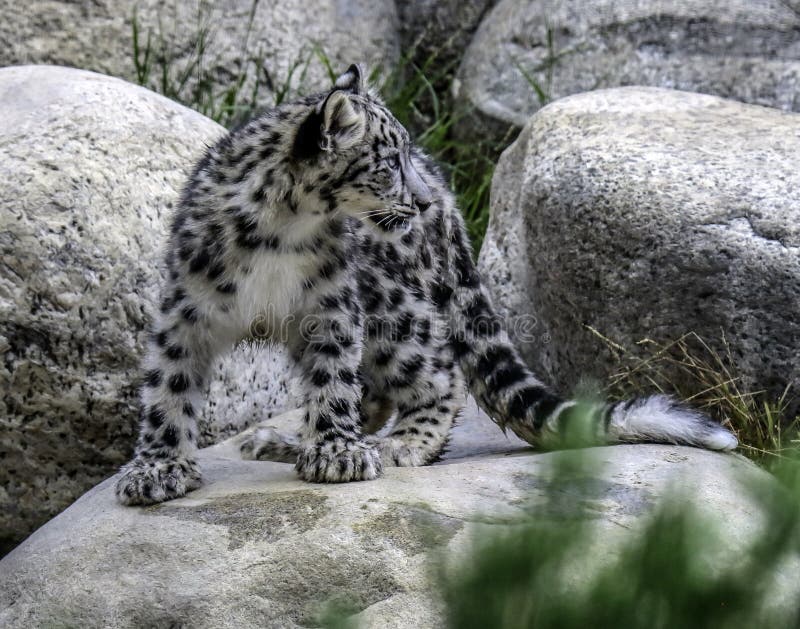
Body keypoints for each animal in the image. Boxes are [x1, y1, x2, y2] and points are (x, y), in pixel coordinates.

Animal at [115, 64, 737, 505]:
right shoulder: (187, 310)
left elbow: (334, 380)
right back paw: (285, 441)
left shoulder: (332, 306)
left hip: (392, 307)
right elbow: (168, 387)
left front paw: (338, 454)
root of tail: (450, 200)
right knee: (376, 392)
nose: (416, 199)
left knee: (438, 377)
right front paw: (157, 469)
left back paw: (398, 444)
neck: (280, 232)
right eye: (388, 161)